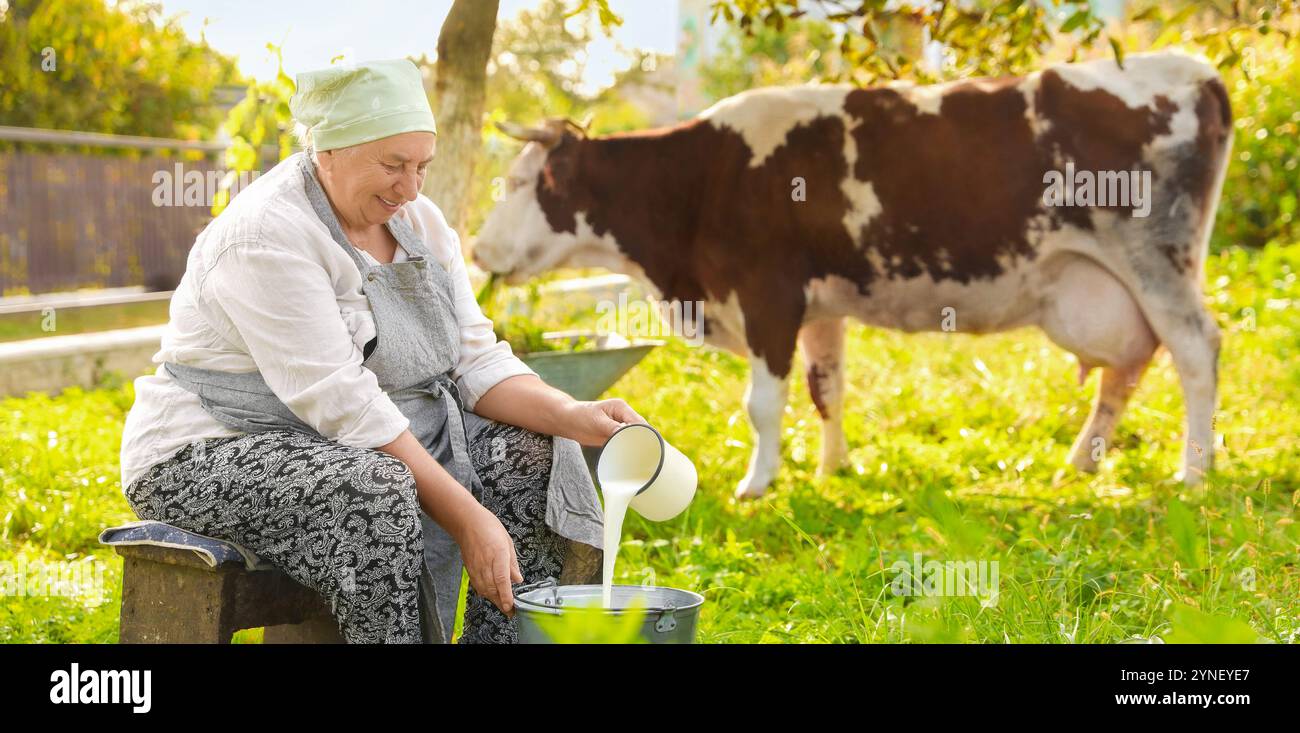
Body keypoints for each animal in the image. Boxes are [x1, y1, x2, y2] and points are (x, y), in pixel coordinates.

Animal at [471, 50, 1233, 499]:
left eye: (523, 182)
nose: (477, 250)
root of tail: (1187, 69)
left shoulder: (768, 294)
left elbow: (764, 403)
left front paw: (758, 483)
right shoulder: (821, 306)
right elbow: (826, 388)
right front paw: (832, 467)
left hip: (1156, 261)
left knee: (1196, 350)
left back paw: (1193, 473)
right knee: (1129, 365)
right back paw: (1082, 462)